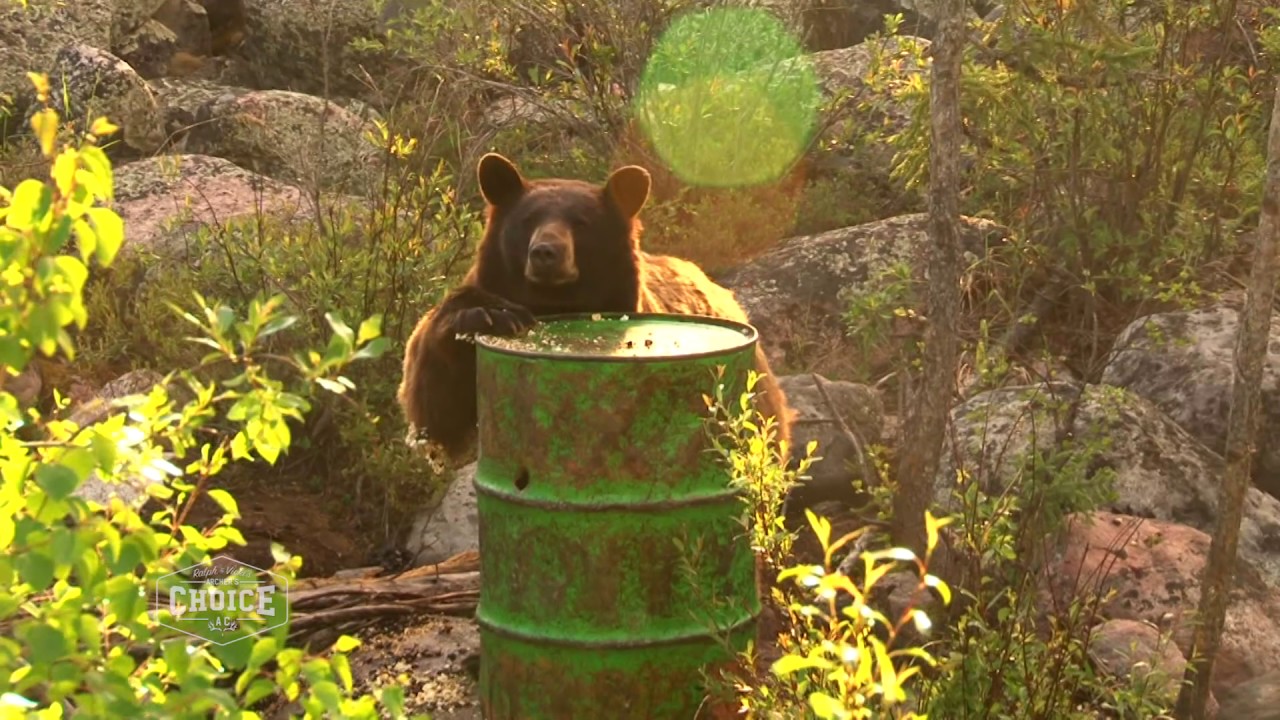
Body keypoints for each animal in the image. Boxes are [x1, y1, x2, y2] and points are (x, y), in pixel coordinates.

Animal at [397, 152, 793, 467]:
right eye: (528, 219)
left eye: (581, 222)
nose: (545, 253)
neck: (556, 301)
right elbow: (433, 402)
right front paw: (493, 316)